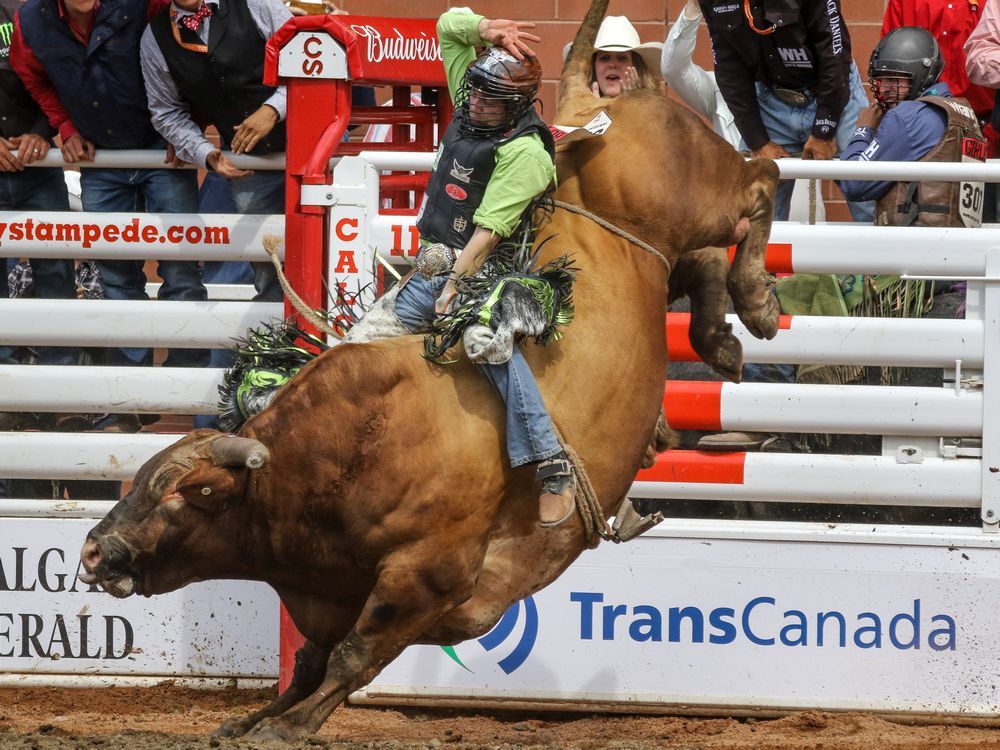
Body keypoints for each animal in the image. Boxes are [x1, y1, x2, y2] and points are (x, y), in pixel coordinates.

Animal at [77, 0, 779, 739]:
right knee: (700, 262)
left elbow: (353, 655)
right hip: (660, 253)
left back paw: (758, 299)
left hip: (700, 188)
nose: (94, 550)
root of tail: (593, 101)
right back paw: (719, 341)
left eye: (188, 494)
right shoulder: (326, 586)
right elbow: (312, 660)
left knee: (759, 182)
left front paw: (284, 728)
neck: (339, 453)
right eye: (141, 480)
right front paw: (251, 721)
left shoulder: (424, 576)